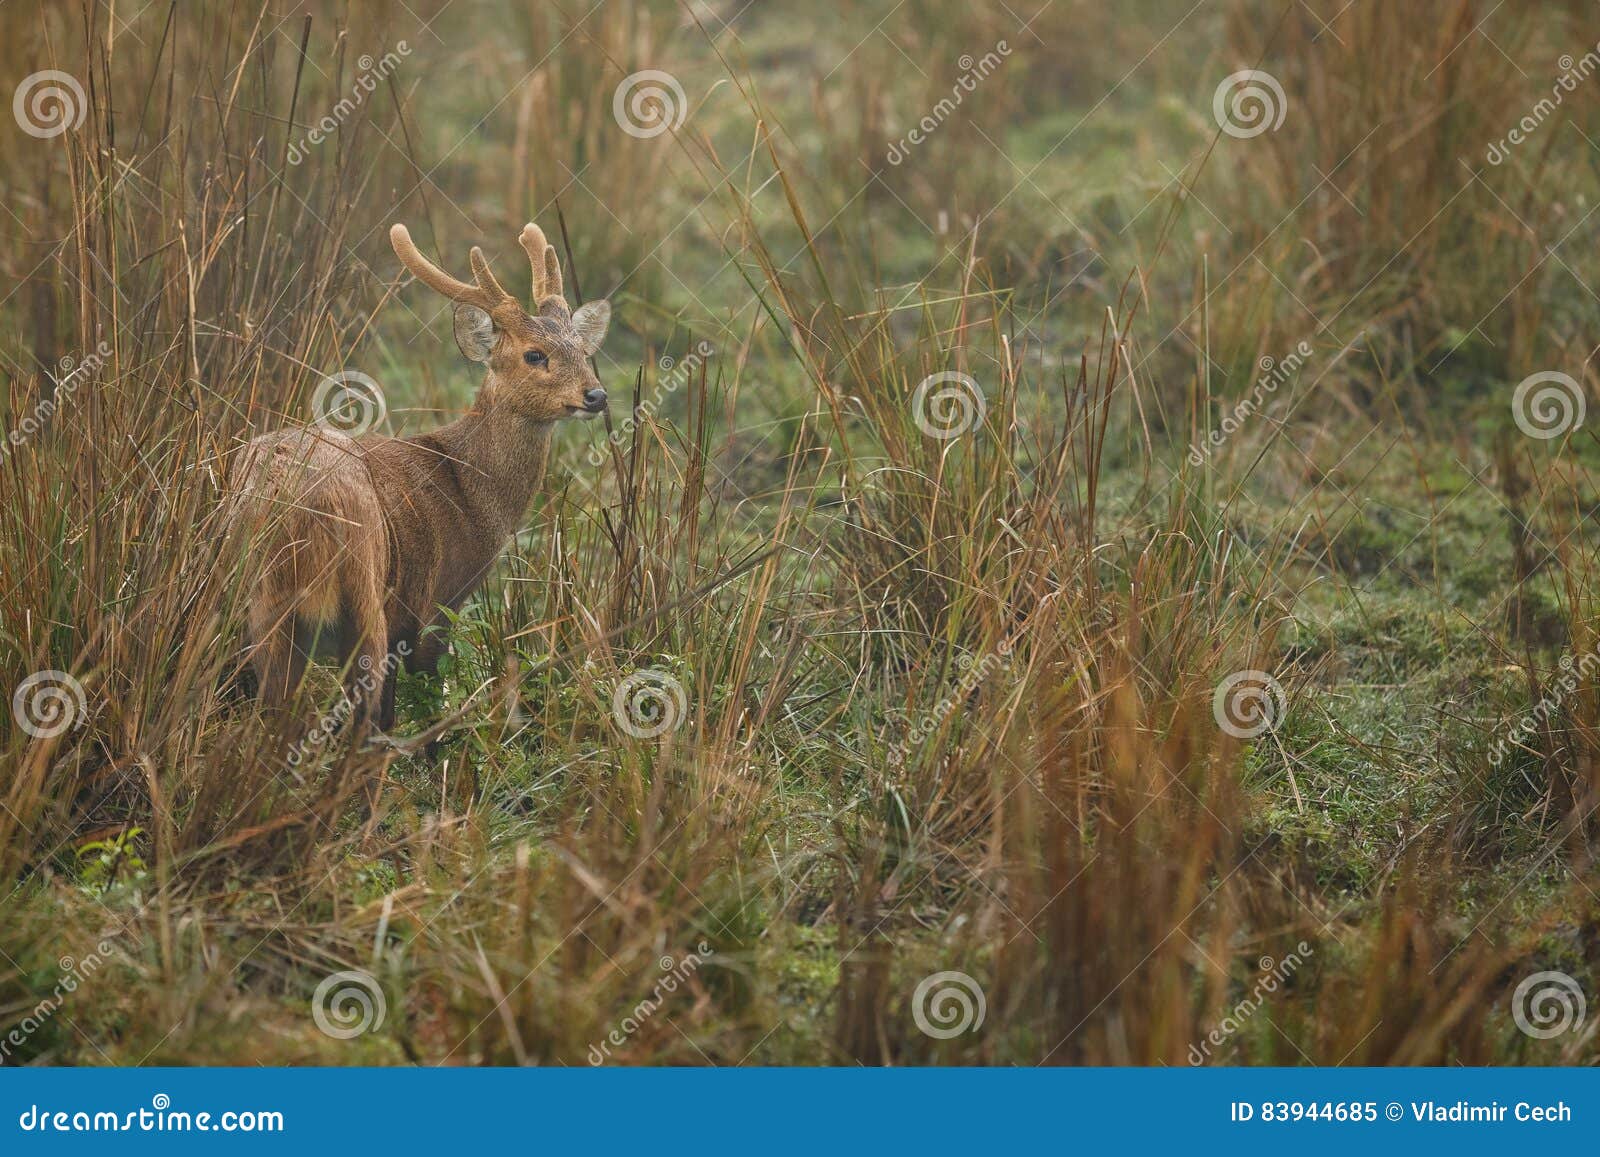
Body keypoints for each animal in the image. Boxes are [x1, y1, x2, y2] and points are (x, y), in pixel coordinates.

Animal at [228, 220, 611, 734]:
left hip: (252, 601)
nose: (596, 395)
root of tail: (305, 508)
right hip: (365, 591)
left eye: (583, 349)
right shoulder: (434, 600)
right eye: (534, 355)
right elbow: (426, 706)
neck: (469, 491)